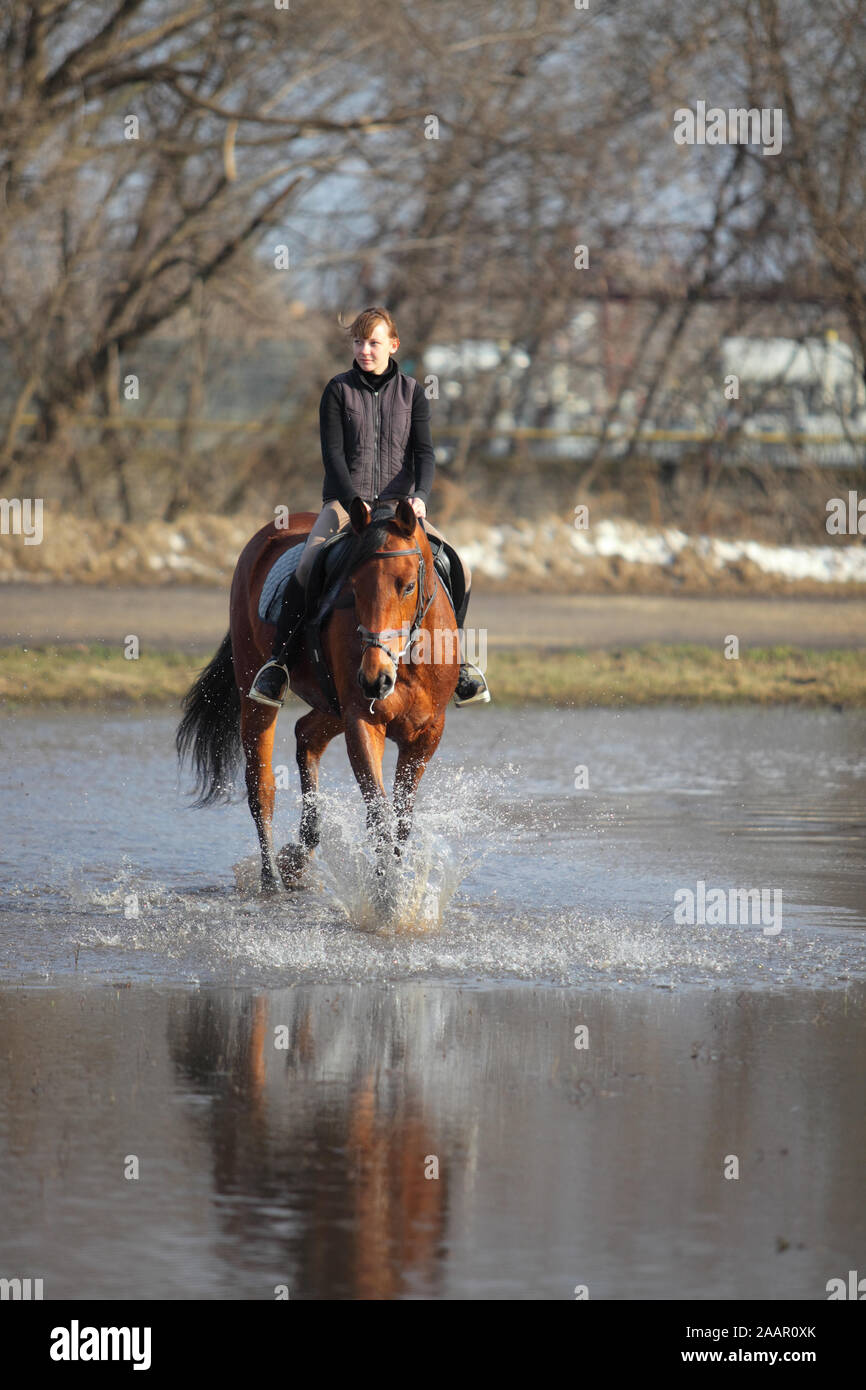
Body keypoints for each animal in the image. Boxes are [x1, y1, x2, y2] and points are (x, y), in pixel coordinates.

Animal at [176, 496, 459, 893]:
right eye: (354, 588)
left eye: (406, 587)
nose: (375, 680)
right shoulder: (362, 721)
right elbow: (379, 813)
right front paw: (386, 896)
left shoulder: (427, 734)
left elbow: (402, 820)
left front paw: (396, 885)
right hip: (257, 694)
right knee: (261, 787)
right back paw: (272, 879)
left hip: (332, 708)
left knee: (306, 736)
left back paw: (299, 855)